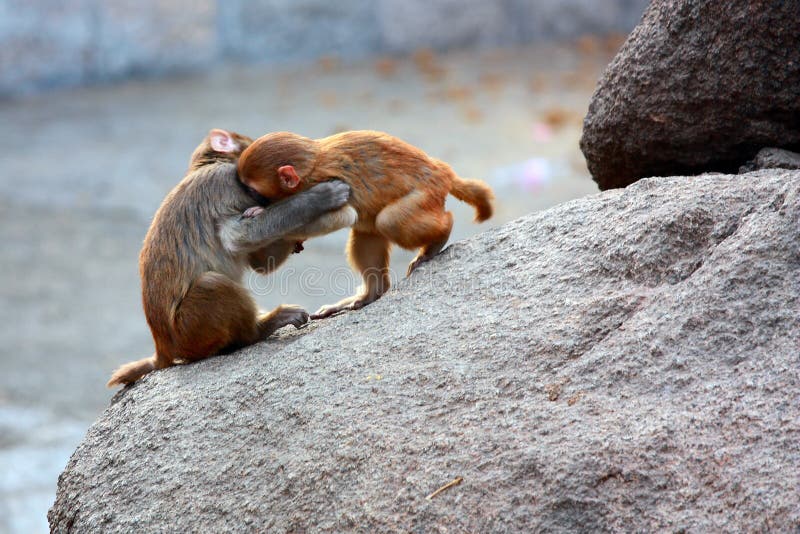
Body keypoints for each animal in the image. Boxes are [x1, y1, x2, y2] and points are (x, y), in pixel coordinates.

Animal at [107, 128, 353, 387]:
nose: (261, 199)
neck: (209, 163)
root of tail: (163, 349)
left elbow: (260, 263)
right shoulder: (225, 184)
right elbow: (238, 237)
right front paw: (321, 197)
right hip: (191, 333)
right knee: (211, 284)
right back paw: (259, 330)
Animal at [237, 130, 494, 319]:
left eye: (253, 190)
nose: (248, 197)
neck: (310, 165)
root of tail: (441, 170)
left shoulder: (323, 183)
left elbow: (344, 215)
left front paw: (266, 217)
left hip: (425, 194)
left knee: (390, 221)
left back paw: (441, 234)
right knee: (367, 232)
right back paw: (371, 294)